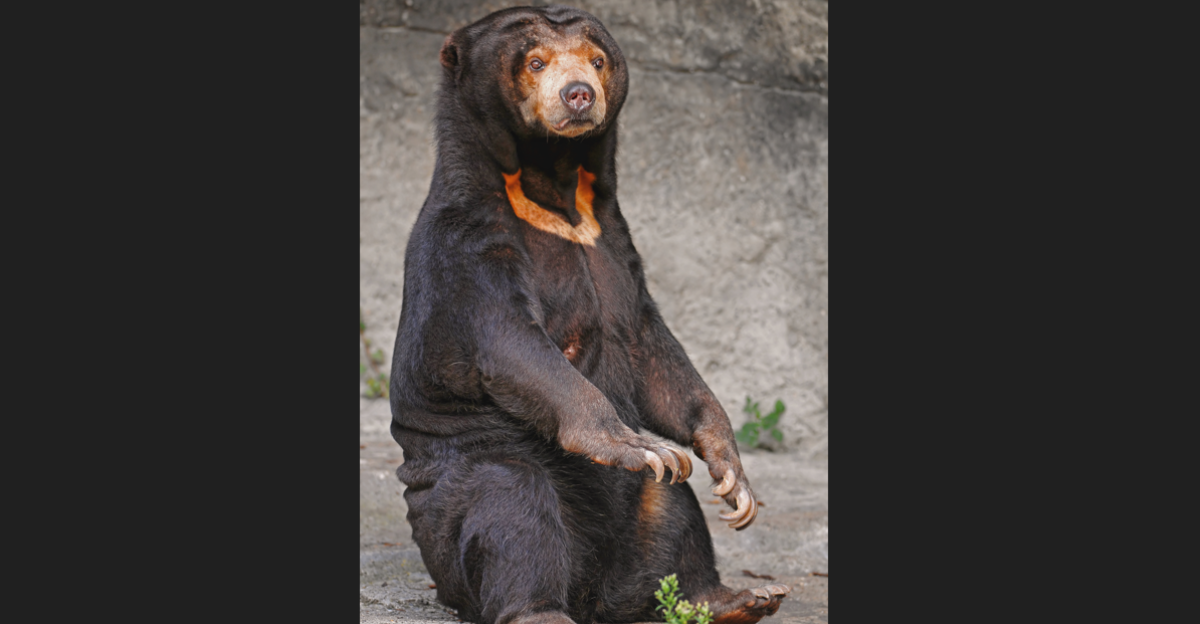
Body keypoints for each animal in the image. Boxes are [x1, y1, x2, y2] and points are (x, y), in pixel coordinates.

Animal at [389, 6, 790, 624]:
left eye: (597, 60)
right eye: (535, 61)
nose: (578, 94)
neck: (554, 191)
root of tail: (592, 592)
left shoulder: (614, 240)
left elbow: (653, 349)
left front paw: (733, 480)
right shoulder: (467, 241)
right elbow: (511, 343)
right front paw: (637, 444)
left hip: (637, 517)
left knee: (674, 507)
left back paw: (735, 597)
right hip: (461, 492)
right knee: (513, 508)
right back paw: (543, 610)